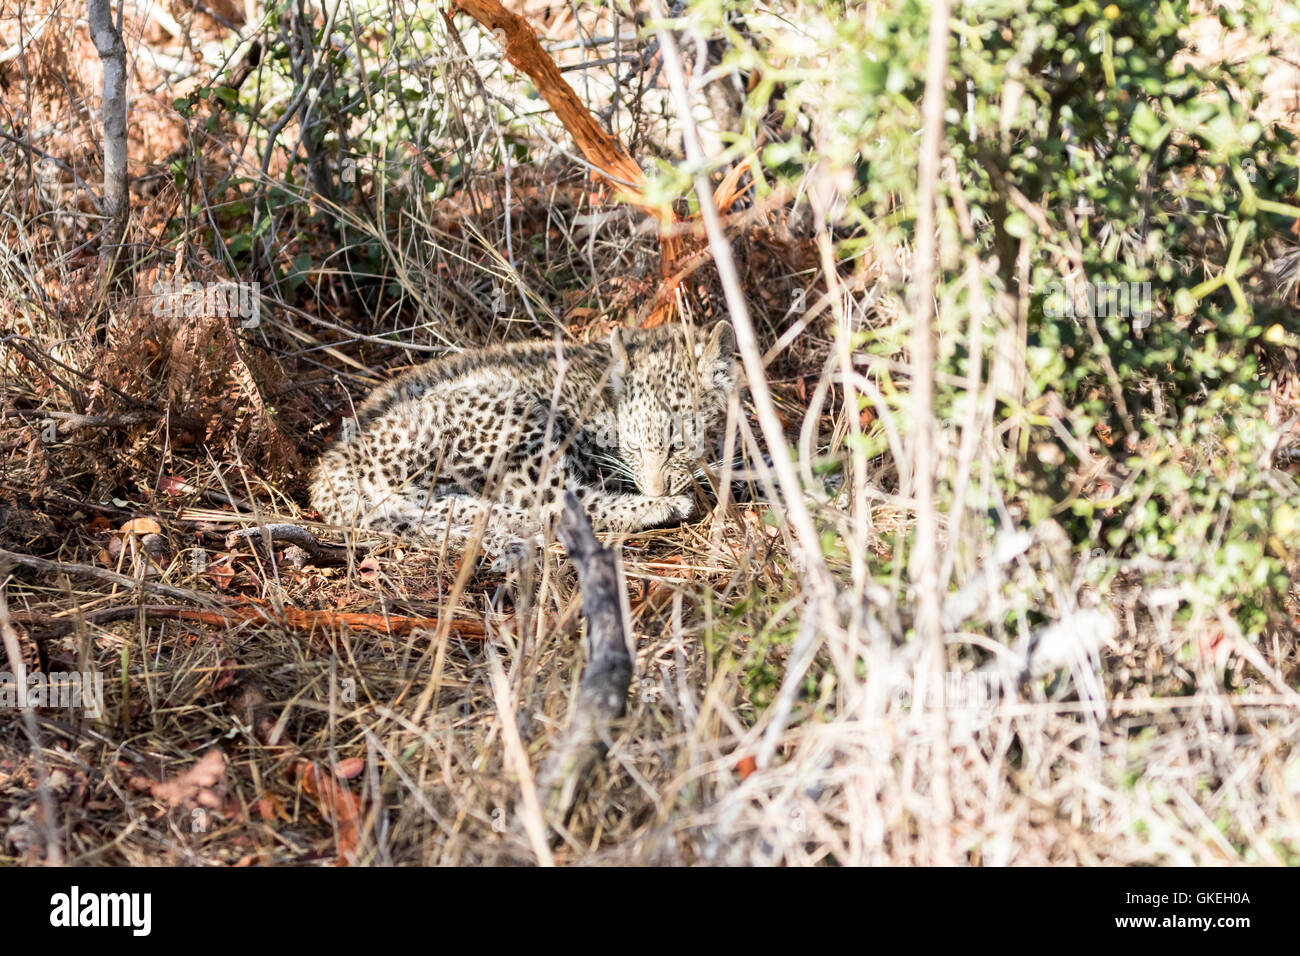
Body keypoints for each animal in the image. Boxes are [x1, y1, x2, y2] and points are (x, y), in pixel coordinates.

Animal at [308, 321, 738, 567]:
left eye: (677, 445)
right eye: (632, 445)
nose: (656, 488)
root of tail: (330, 466)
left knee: (451, 509)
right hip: (512, 416)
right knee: (563, 505)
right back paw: (664, 508)